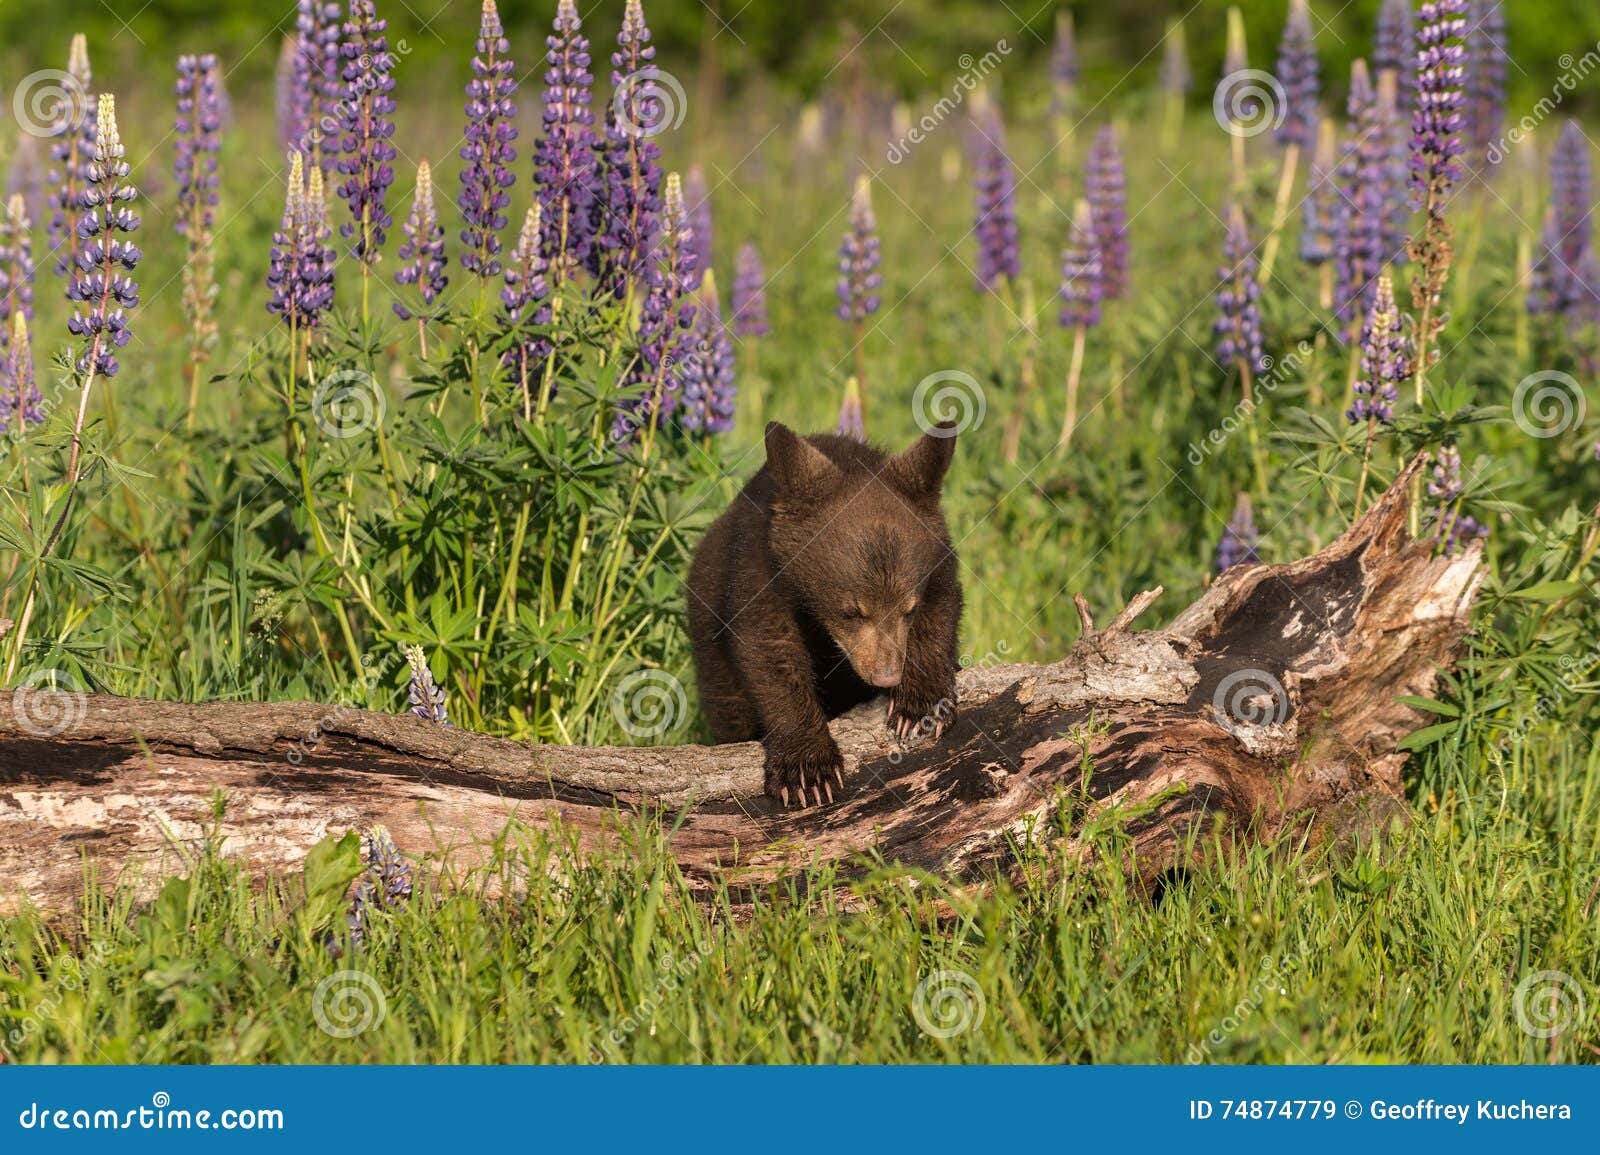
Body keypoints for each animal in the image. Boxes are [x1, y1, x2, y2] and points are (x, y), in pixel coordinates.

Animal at [686, 420, 962, 807]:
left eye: (908, 609)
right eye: (851, 612)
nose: (886, 676)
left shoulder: (939, 557)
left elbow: (942, 608)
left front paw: (921, 704)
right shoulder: (759, 573)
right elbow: (770, 652)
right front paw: (808, 769)